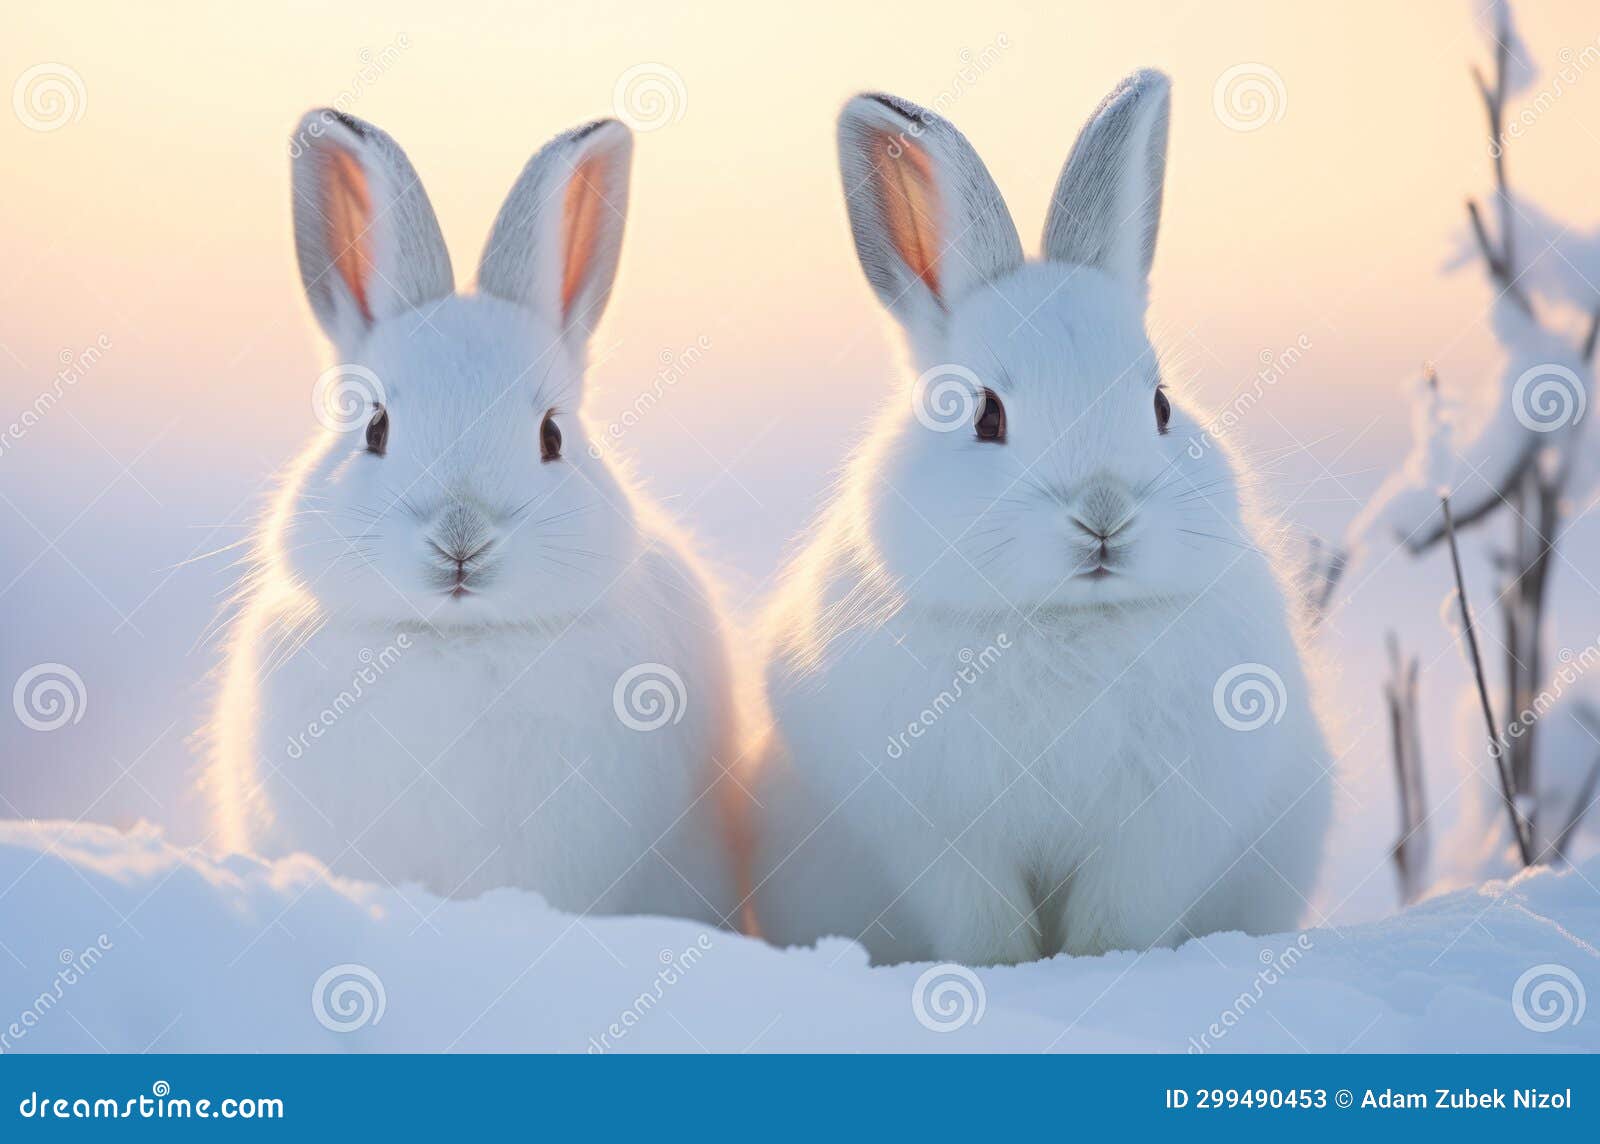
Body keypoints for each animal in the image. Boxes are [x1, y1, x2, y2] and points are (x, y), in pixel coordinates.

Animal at [750, 72, 1334, 965]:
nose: (1104, 514)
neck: (1061, 619)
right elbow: (985, 926)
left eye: (1161, 405)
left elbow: (1114, 920)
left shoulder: (1157, 834)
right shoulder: (943, 839)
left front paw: (1101, 969)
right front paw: (1005, 974)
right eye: (985, 415)